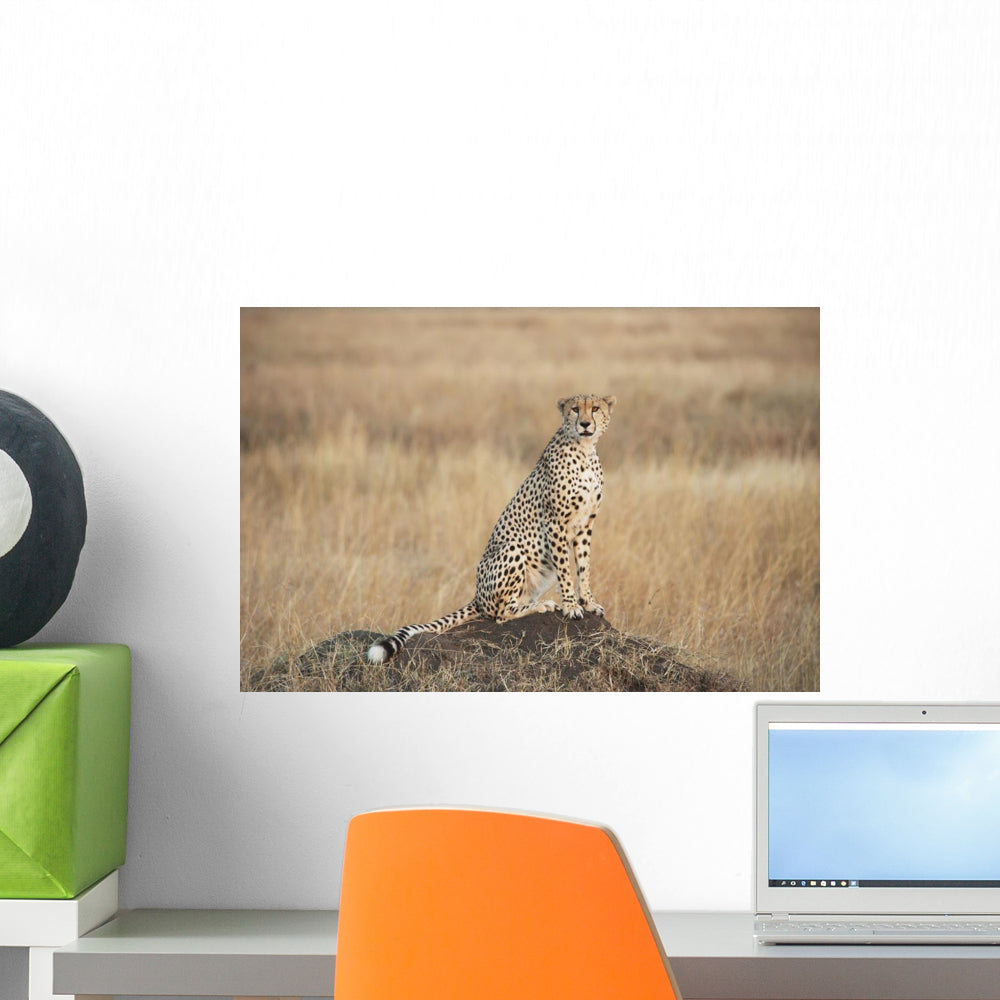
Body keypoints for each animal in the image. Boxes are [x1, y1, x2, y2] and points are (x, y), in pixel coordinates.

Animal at [367, 394, 616, 664]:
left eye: (595, 408)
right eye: (575, 409)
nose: (585, 424)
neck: (585, 450)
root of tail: (477, 596)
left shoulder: (585, 524)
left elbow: (583, 567)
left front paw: (588, 602)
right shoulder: (555, 522)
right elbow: (566, 570)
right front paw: (571, 605)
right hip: (512, 549)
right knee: (500, 614)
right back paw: (542, 605)